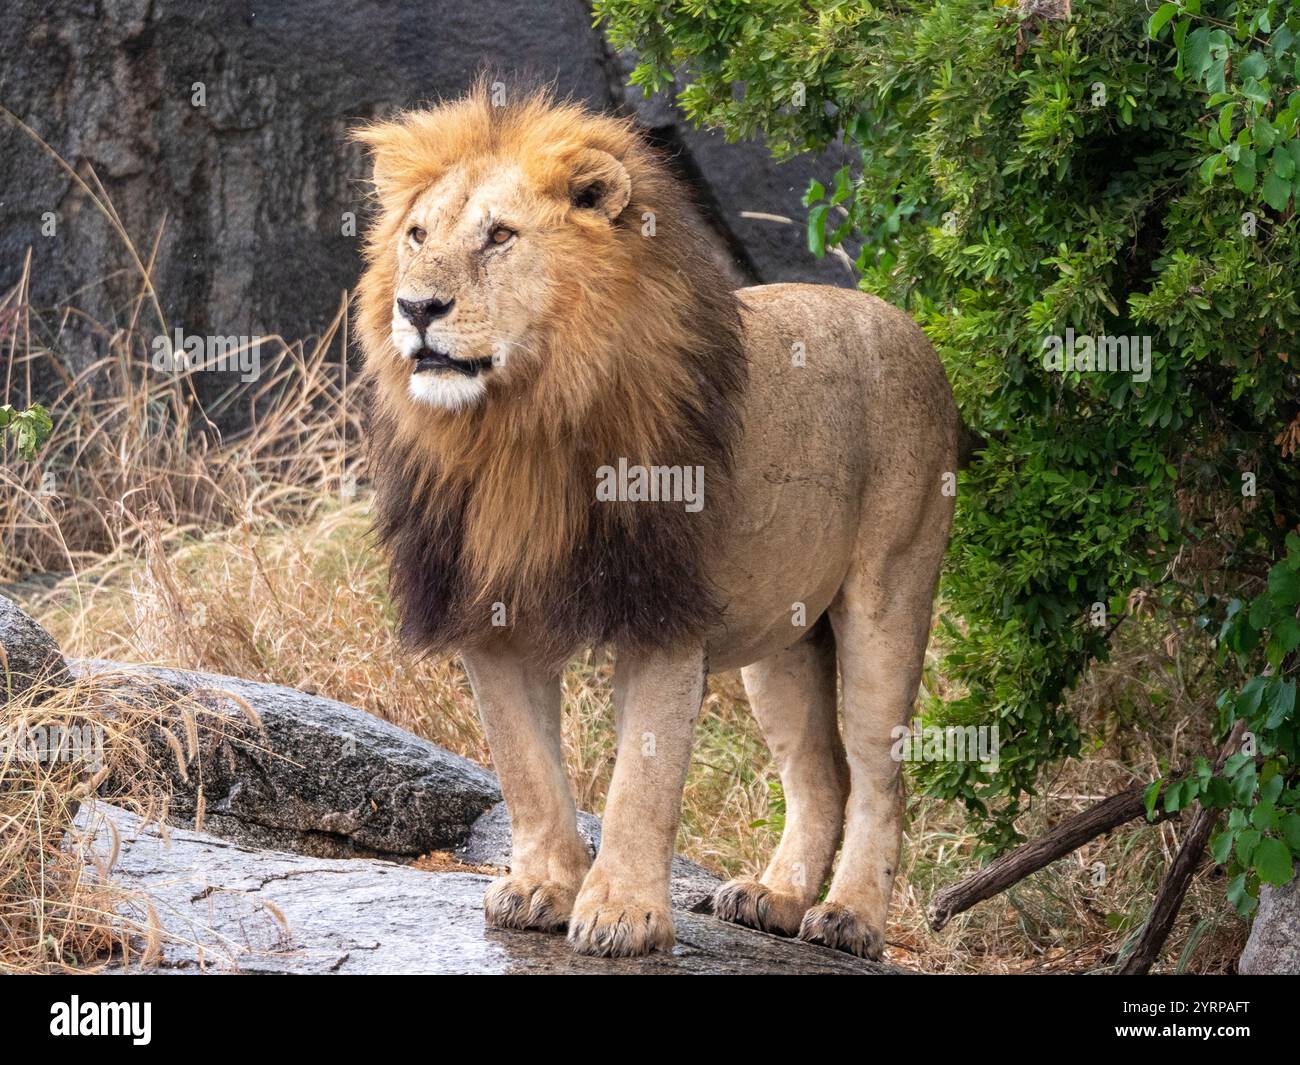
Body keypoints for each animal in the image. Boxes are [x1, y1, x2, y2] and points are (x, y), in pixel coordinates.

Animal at [353, 85, 965, 960]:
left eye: (500, 236)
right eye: (416, 235)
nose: (417, 307)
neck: (517, 427)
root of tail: (906, 323)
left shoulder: (663, 613)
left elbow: (640, 783)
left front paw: (621, 912)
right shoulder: (489, 613)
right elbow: (525, 769)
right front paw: (541, 885)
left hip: (889, 593)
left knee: (881, 772)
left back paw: (851, 916)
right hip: (782, 636)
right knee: (820, 772)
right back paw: (773, 896)